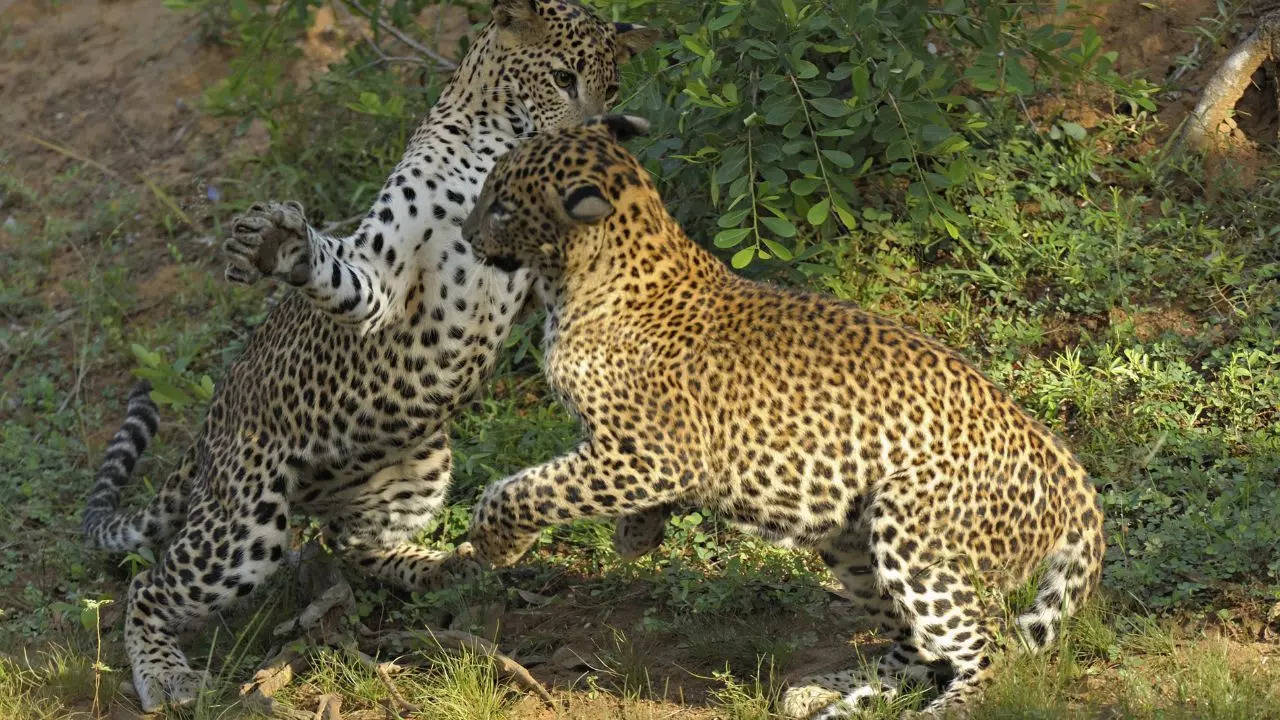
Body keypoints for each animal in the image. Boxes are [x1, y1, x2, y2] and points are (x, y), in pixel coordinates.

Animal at [79, 3, 657, 711]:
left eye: (610, 87)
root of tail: (214, 414)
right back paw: (164, 673)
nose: (596, 133)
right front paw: (282, 246)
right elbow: (339, 273)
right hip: (245, 524)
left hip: (419, 466)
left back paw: (448, 565)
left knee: (352, 544)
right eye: (562, 78)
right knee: (147, 589)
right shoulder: (382, 274)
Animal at [458, 115, 1107, 719]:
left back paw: (946, 707)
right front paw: (638, 536)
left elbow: (528, 487)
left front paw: (494, 541)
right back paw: (831, 693)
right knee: (921, 649)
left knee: (985, 648)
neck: (579, 280)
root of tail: (1071, 474)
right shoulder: (632, 456)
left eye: (502, 206)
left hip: (911, 527)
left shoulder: (652, 456)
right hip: (852, 541)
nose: (465, 234)